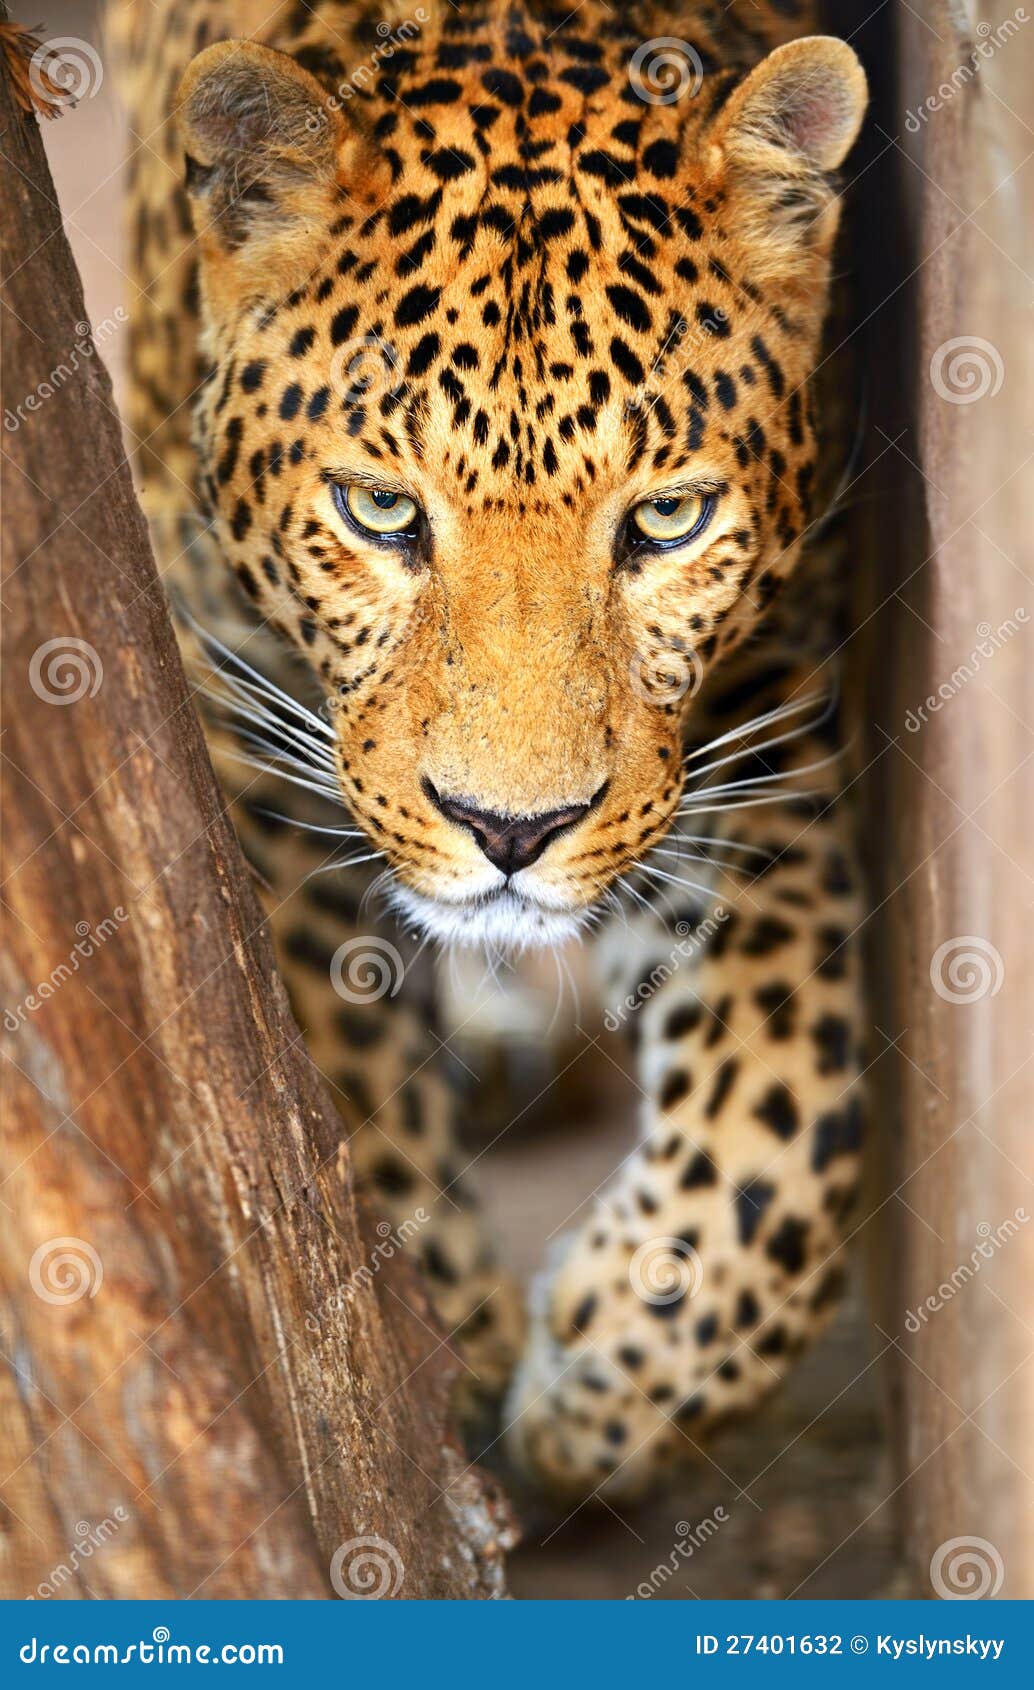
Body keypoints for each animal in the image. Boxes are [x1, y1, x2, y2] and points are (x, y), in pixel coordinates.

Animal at [109, 0, 869, 1502]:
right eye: (378, 510)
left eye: (668, 519)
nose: (509, 835)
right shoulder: (231, 693)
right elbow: (317, 1043)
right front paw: (442, 1331)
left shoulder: (750, 706)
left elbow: (791, 1079)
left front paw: (619, 1367)